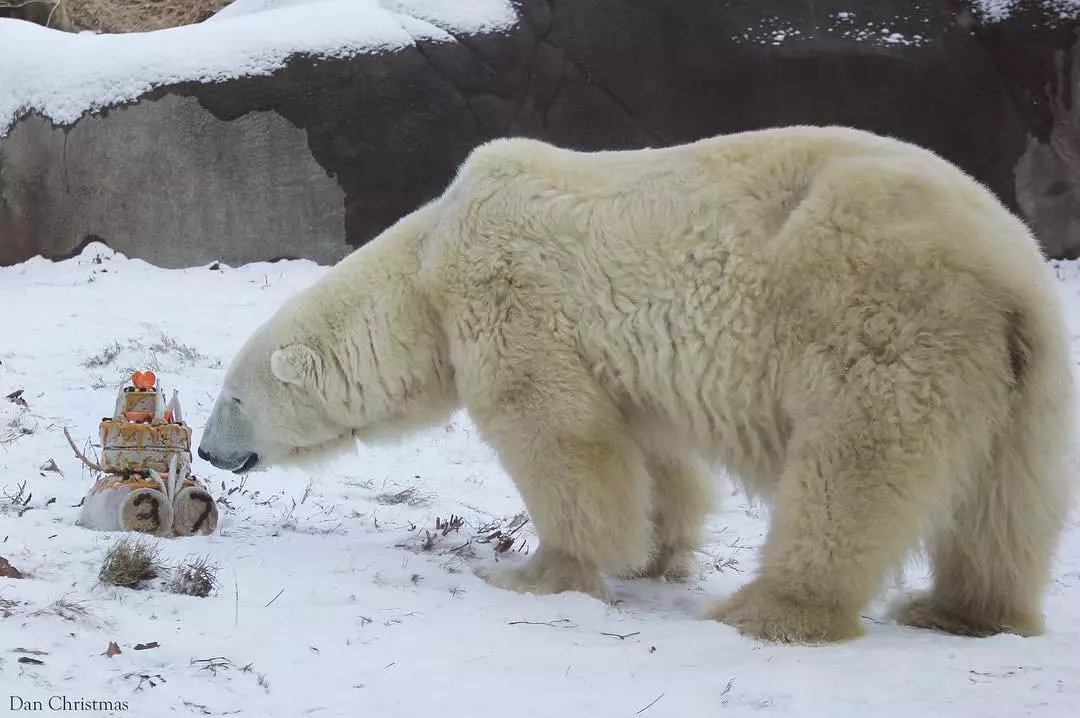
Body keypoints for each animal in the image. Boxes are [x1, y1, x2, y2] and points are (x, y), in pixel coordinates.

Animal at [198, 124, 1075, 643]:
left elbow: (554, 433)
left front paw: (539, 572)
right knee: (1006, 500)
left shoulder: (509, 296)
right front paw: (655, 553)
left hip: (880, 319)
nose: (206, 451)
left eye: (232, 397)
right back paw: (960, 611)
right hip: (1021, 374)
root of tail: (1010, 272)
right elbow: (649, 452)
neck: (424, 264)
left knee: (853, 469)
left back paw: (772, 609)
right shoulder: (623, 363)